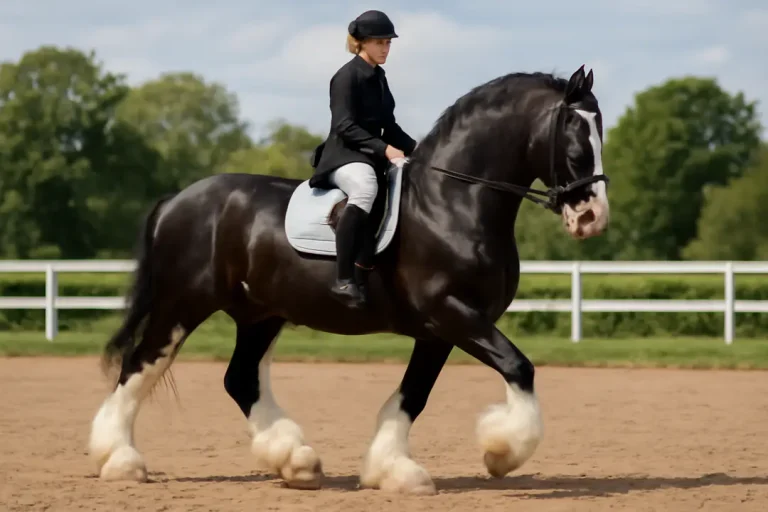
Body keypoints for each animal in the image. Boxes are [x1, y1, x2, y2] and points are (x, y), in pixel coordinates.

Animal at [87, 64, 610, 495]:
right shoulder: (452, 313)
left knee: (240, 378)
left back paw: (295, 461)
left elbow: (414, 395)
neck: (453, 203)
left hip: (260, 314)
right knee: (140, 364)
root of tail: (178, 200)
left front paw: (394, 470)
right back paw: (119, 460)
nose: (592, 218)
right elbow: (519, 367)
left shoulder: (441, 329)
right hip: (182, 304)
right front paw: (502, 452)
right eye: (574, 136)